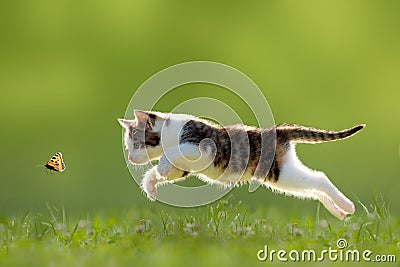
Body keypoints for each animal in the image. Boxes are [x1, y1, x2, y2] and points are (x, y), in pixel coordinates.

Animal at [117, 110, 364, 221]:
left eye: (136, 144)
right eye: (128, 147)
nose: (130, 158)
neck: (170, 131)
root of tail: (277, 130)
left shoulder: (203, 147)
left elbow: (172, 152)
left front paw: (161, 165)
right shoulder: (184, 169)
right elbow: (167, 170)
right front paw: (151, 185)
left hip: (280, 172)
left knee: (319, 178)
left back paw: (348, 206)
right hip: (283, 176)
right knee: (312, 187)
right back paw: (339, 211)